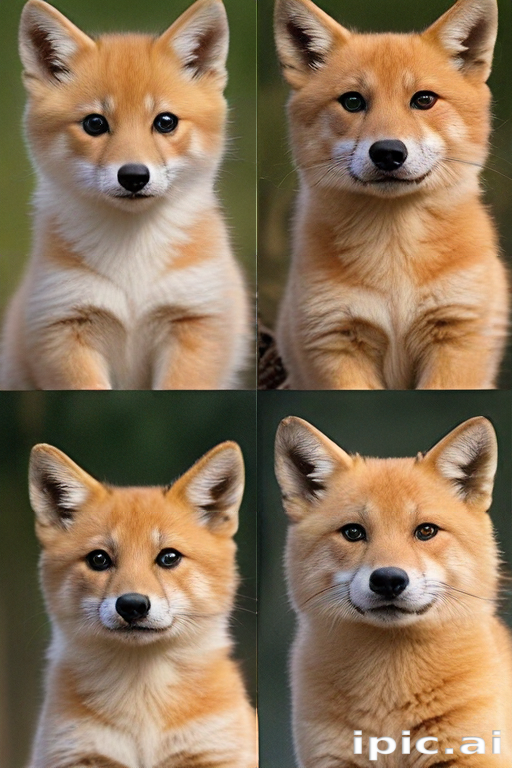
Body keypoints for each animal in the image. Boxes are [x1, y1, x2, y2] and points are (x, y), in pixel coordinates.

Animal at [0, 0, 250, 390]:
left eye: (165, 122)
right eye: (94, 123)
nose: (133, 176)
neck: (132, 260)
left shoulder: (197, 321)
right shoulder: (63, 326)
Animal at [273, 0, 509, 390]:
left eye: (424, 100)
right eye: (353, 101)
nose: (387, 152)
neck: (394, 265)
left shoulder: (458, 333)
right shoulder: (334, 339)